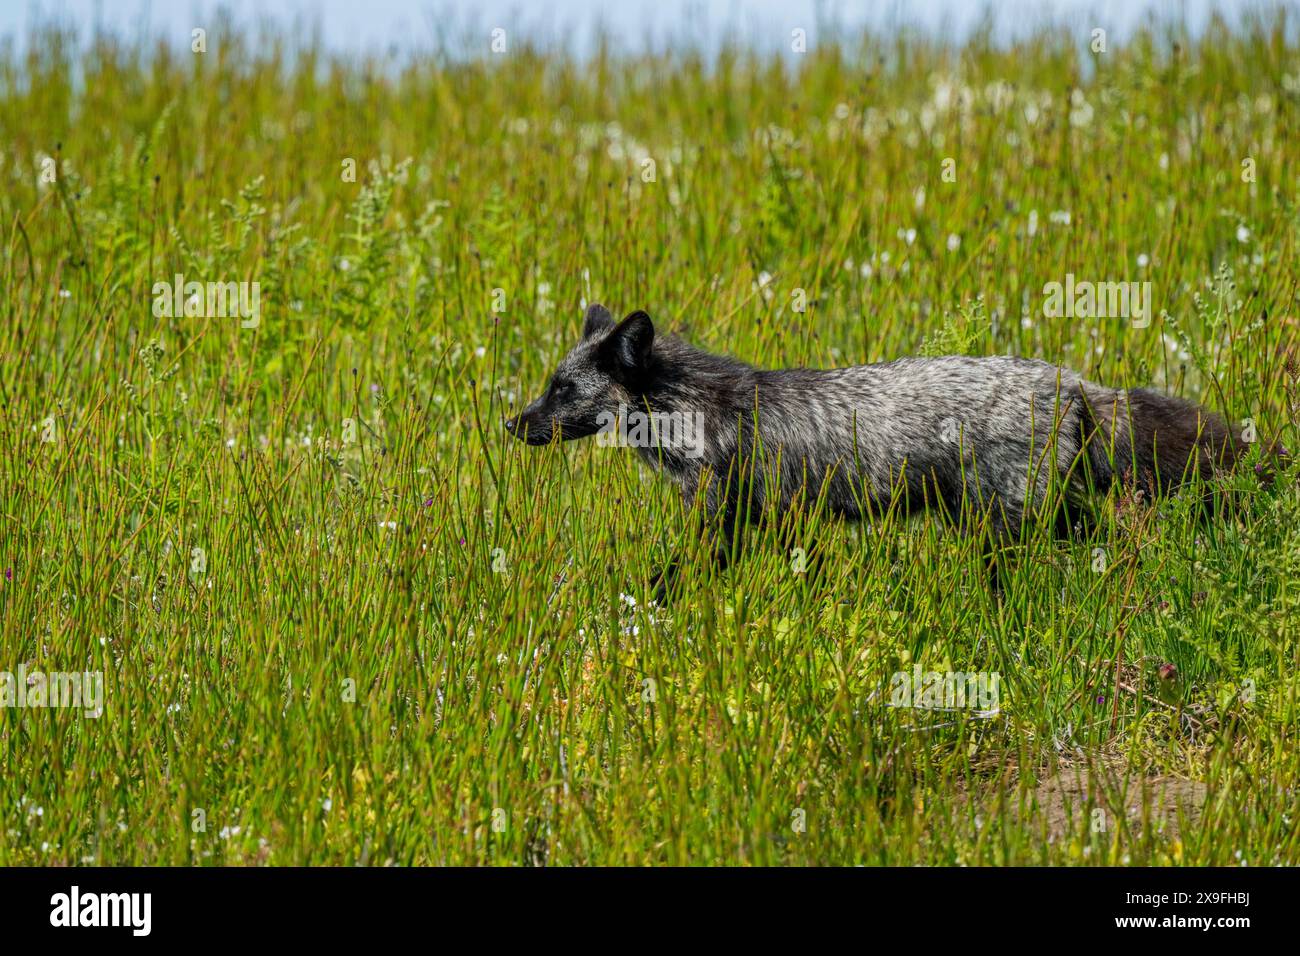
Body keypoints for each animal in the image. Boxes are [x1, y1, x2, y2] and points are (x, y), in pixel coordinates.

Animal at [506, 304, 1247, 596]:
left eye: (561, 388)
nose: (513, 425)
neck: (694, 409)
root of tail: (1067, 379)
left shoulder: (720, 522)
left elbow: (665, 581)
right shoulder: (767, 526)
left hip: (1008, 525)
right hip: (1028, 516)